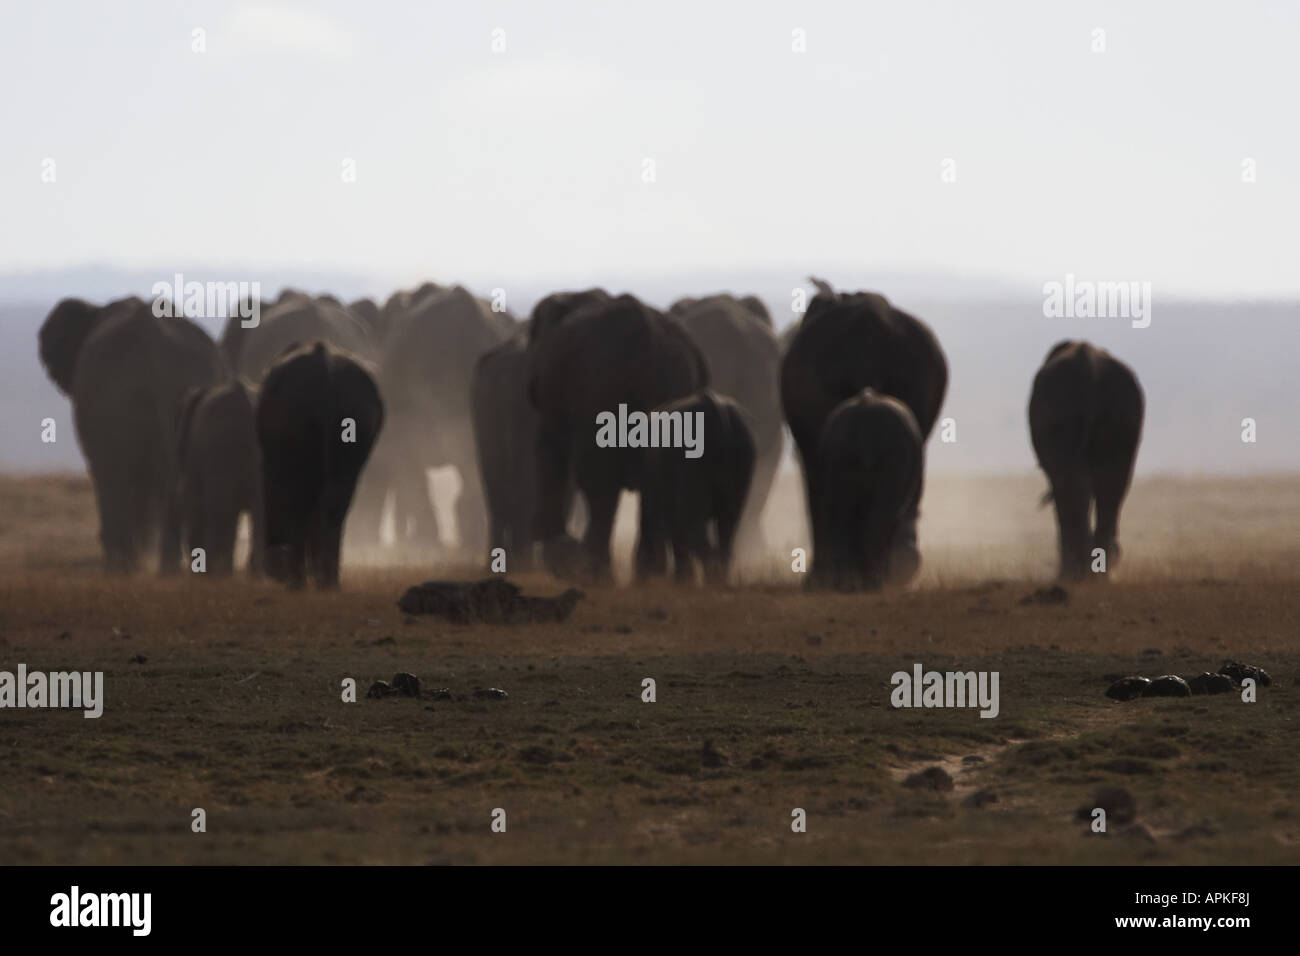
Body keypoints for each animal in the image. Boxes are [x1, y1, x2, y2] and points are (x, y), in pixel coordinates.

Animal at [256, 342, 384, 589]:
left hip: (296, 425)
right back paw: (328, 582)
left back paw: (299, 583)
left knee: (300, 500)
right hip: (356, 423)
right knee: (337, 502)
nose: (271, 572)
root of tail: (325, 367)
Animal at [527, 290, 710, 581]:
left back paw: (594, 572)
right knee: (659, 480)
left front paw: (559, 559)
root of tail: (650, 338)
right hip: (676, 391)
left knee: (598, 479)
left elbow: (547, 449)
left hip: (602, 390)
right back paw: (658, 576)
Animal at [639, 389, 756, 584]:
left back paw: (708, 578)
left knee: (692, 523)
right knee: (728, 523)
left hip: (692, 458)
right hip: (744, 453)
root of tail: (716, 408)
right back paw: (718, 579)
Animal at [817, 389, 923, 591]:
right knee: (879, 519)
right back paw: (873, 584)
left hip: (839, 455)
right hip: (894, 457)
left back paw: (845, 584)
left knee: (842, 518)